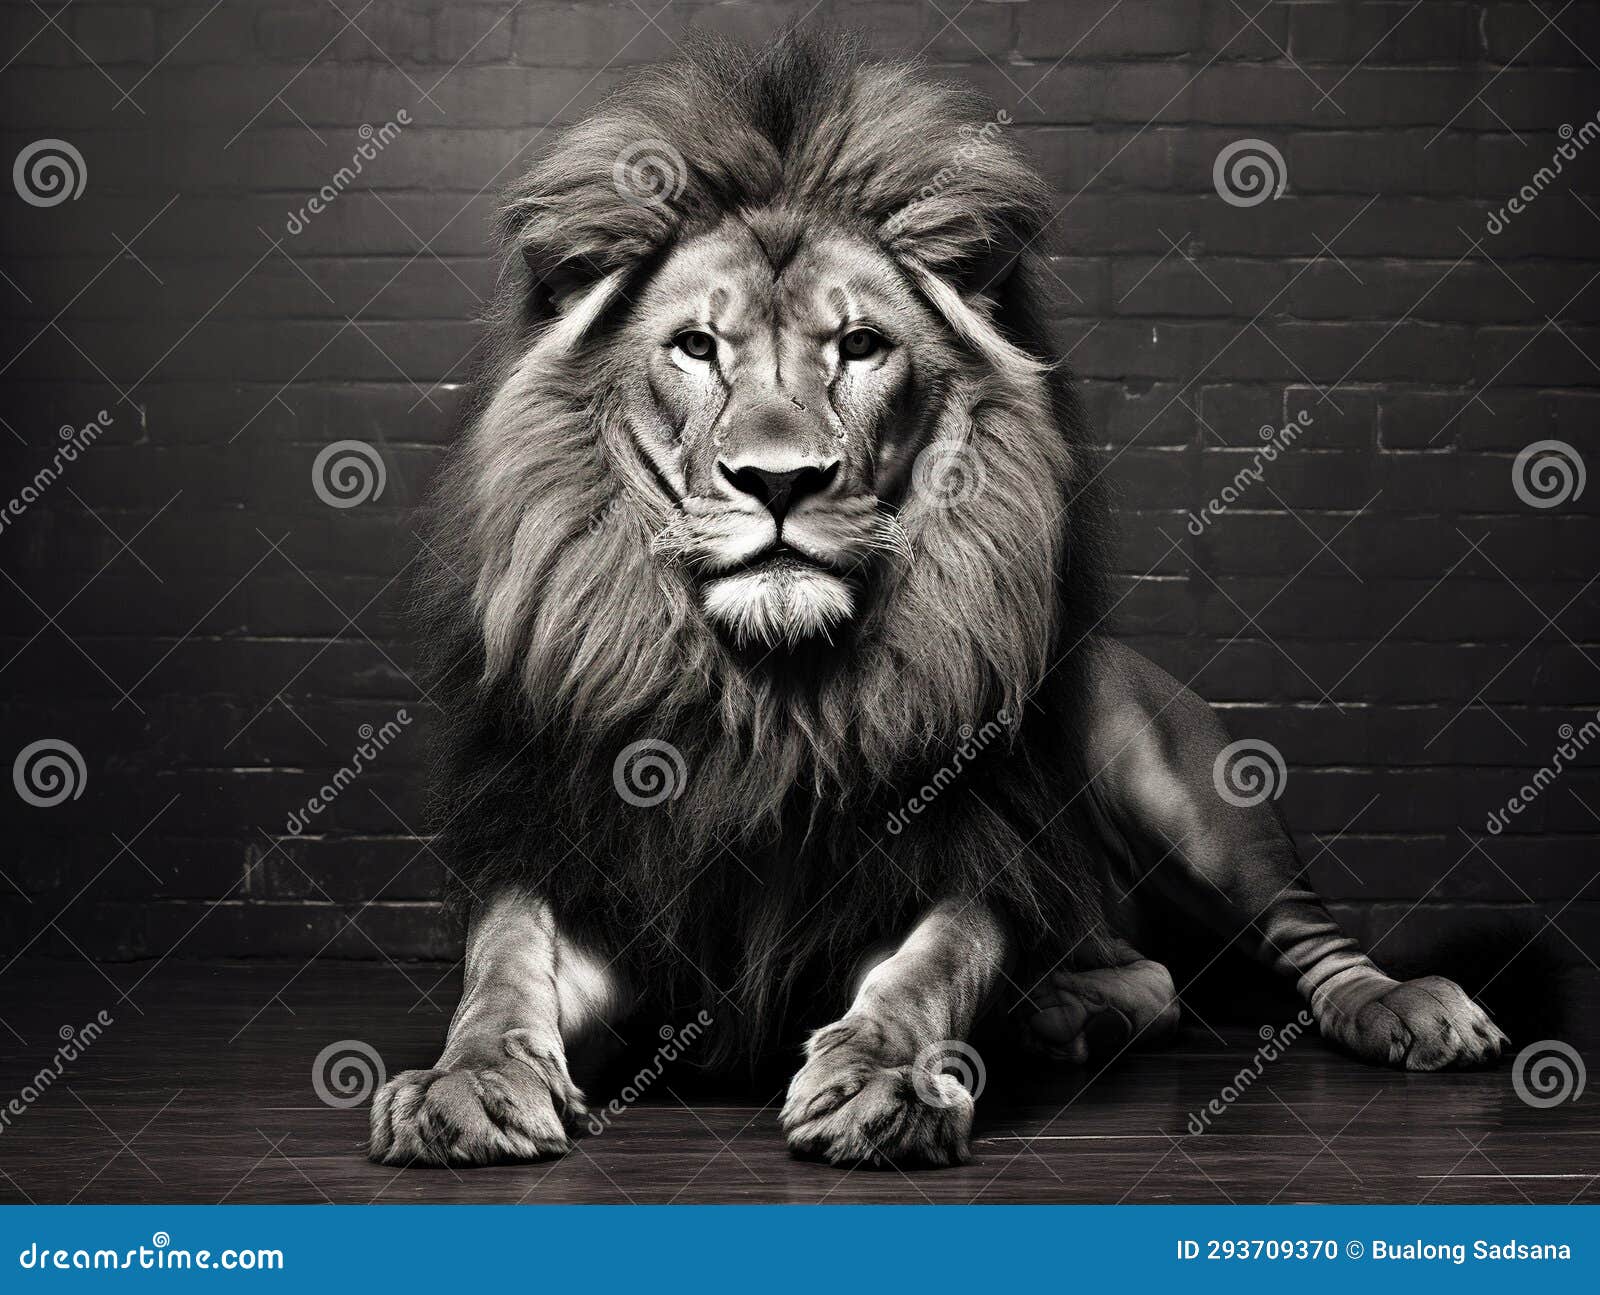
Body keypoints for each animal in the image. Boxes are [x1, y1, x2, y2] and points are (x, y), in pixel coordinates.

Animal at [368, 34, 1507, 1170]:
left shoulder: (964, 847)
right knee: (1153, 978)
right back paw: (1062, 1015)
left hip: (1188, 801)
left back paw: (1407, 1008)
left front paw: (884, 1078)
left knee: (1308, 943)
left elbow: (930, 964)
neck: (769, 696)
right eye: (696, 347)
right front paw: (467, 1082)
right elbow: (502, 960)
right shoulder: (584, 860)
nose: (779, 480)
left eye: (860, 346)